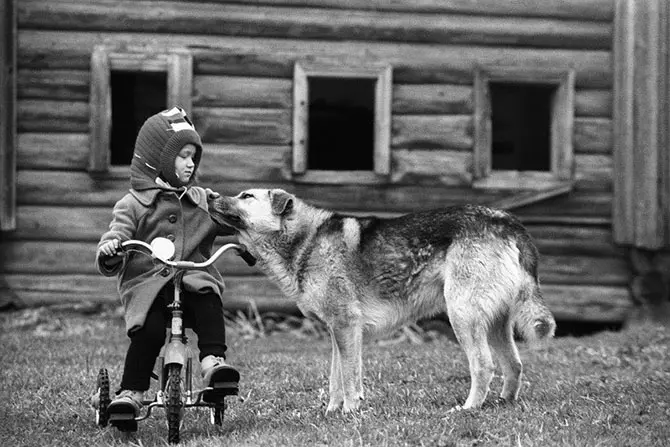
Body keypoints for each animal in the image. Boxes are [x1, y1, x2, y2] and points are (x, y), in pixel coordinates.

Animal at [210, 188, 556, 412]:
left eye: (246, 196)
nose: (211, 195)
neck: (304, 242)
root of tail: (508, 222)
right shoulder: (337, 333)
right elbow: (336, 378)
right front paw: (332, 412)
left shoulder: (347, 326)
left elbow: (350, 378)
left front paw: (350, 413)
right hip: (496, 323)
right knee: (514, 364)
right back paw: (502, 404)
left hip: (463, 316)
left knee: (483, 365)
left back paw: (469, 408)